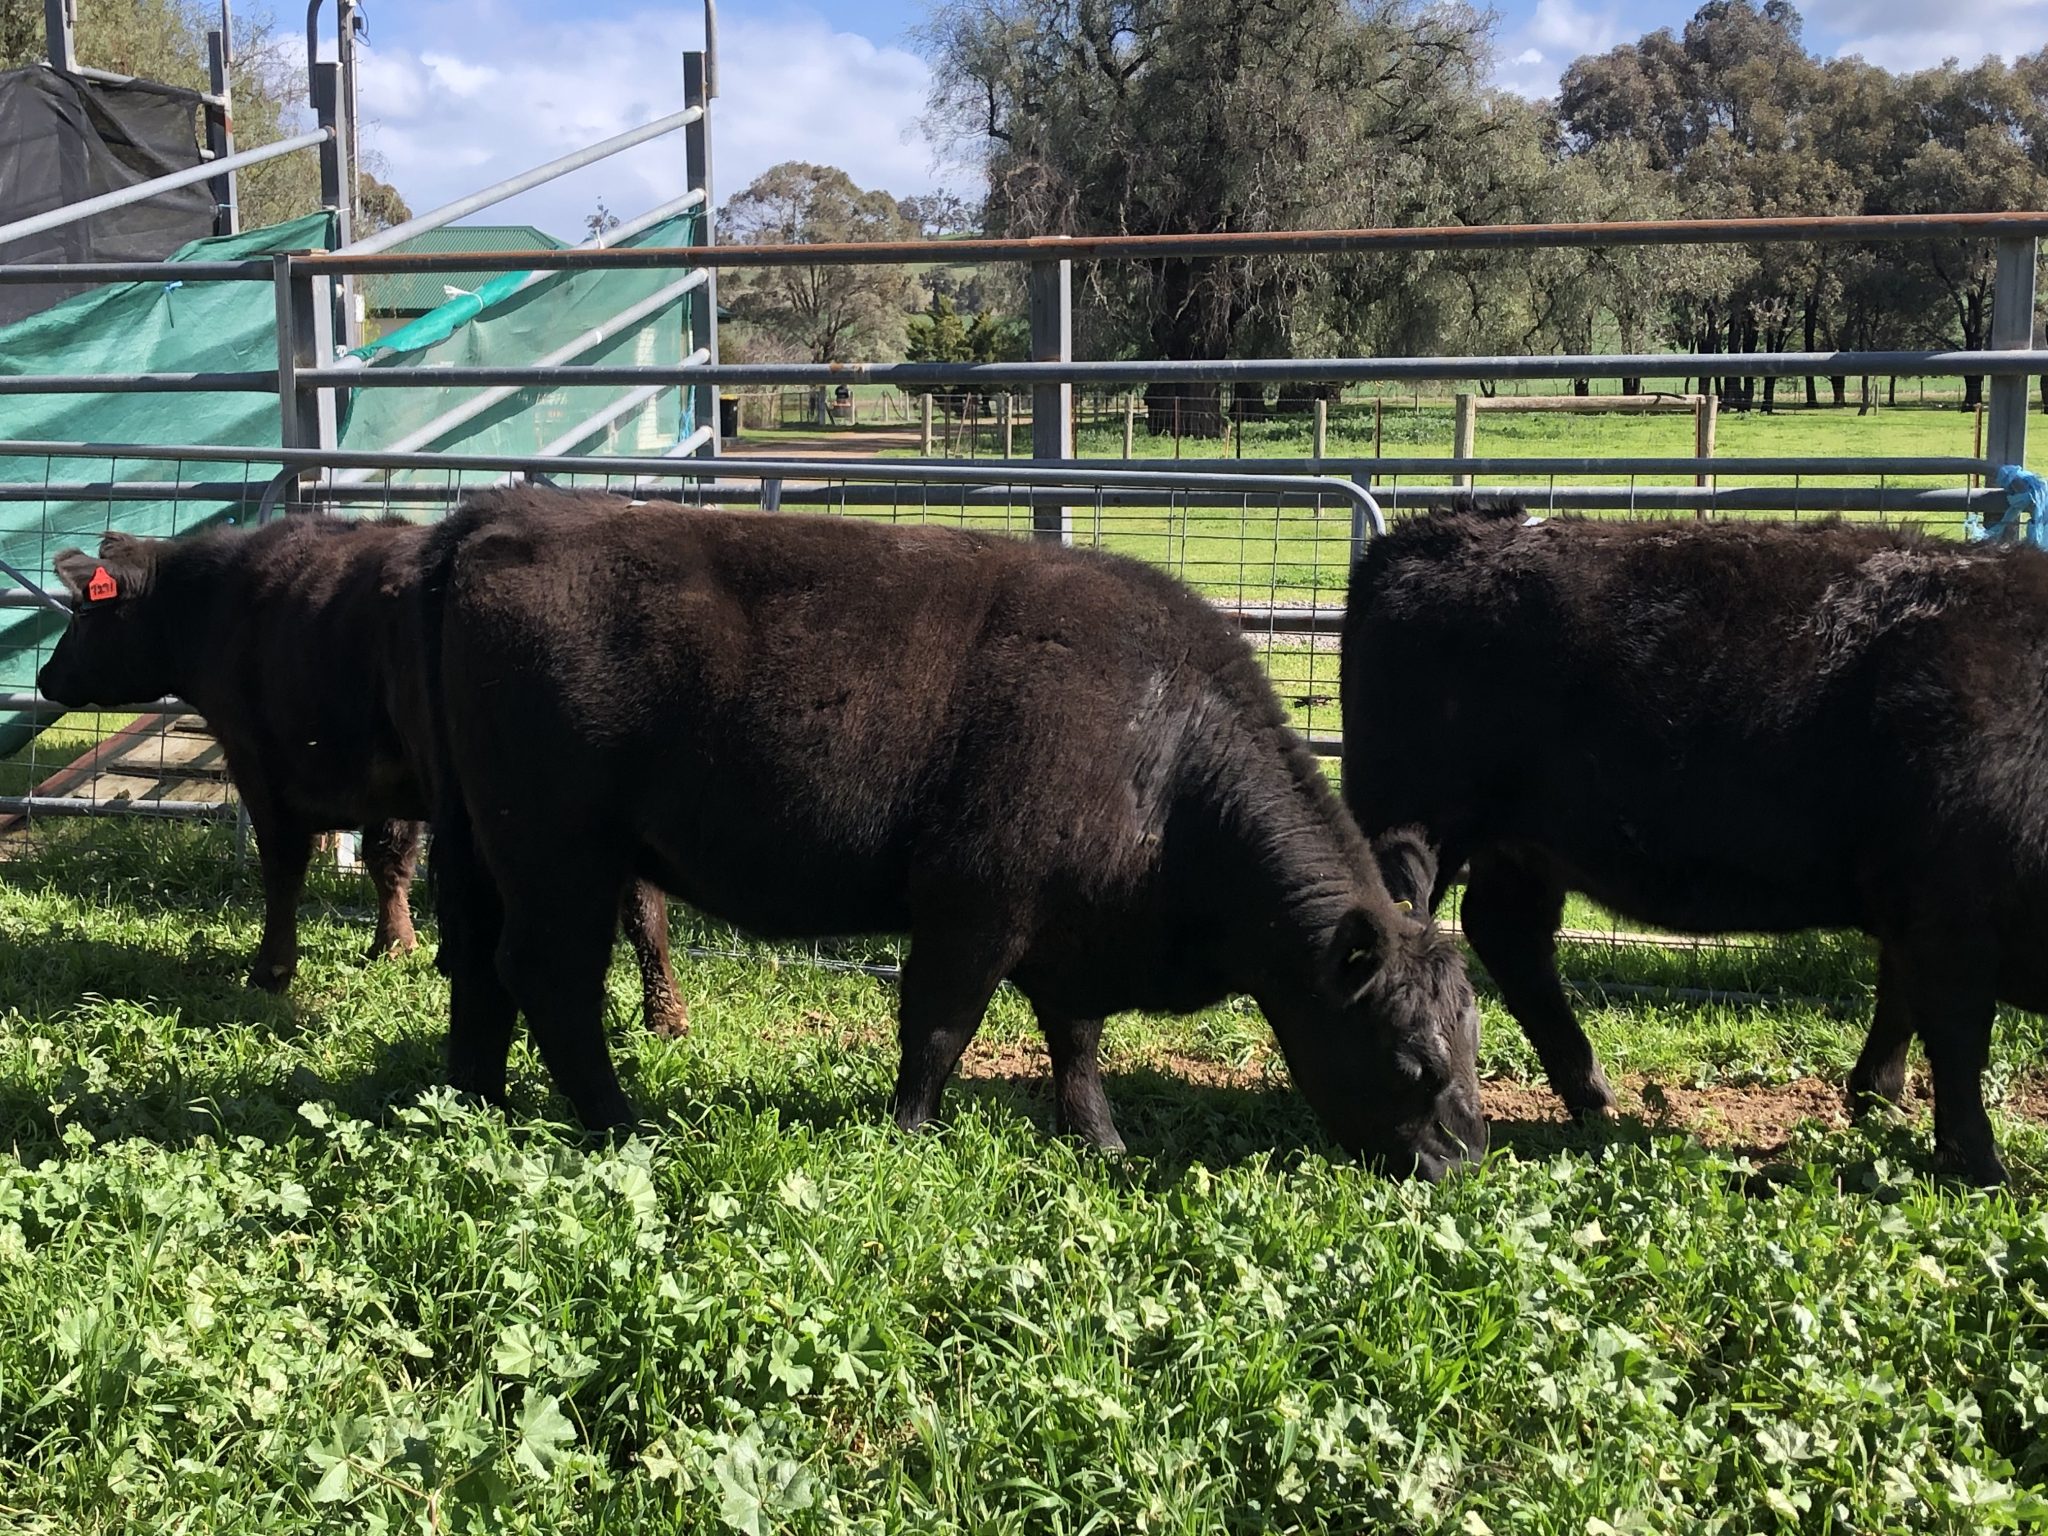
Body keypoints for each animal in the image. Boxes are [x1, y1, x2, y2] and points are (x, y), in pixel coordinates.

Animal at [34, 514, 688, 1036]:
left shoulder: (260, 763)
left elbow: (285, 867)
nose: (44, 676)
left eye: (83, 612)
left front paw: (272, 969)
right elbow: (388, 857)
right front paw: (398, 943)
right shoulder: (386, 780)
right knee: (645, 907)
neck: (217, 604)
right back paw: (666, 1017)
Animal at [416, 489, 1487, 1177]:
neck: (1160, 741)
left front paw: (1100, 1141)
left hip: (482, 847)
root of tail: (498, 514)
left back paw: (475, 1102)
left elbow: (1077, 1042)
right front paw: (913, 1135)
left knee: (477, 967)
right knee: (548, 977)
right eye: (1417, 1063)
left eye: (1476, 1047)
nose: (1465, 1164)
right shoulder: (975, 910)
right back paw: (617, 1122)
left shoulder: (1067, 932)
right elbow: (938, 1030)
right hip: (560, 854)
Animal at [1342, 497, 2048, 1184]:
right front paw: (1979, 1165)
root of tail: (1437, 532)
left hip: (1521, 847)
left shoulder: (1916, 905)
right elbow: (1957, 1037)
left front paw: (1877, 1097)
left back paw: (1594, 1098)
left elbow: (1902, 999)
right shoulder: (1946, 915)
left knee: (1508, 934)